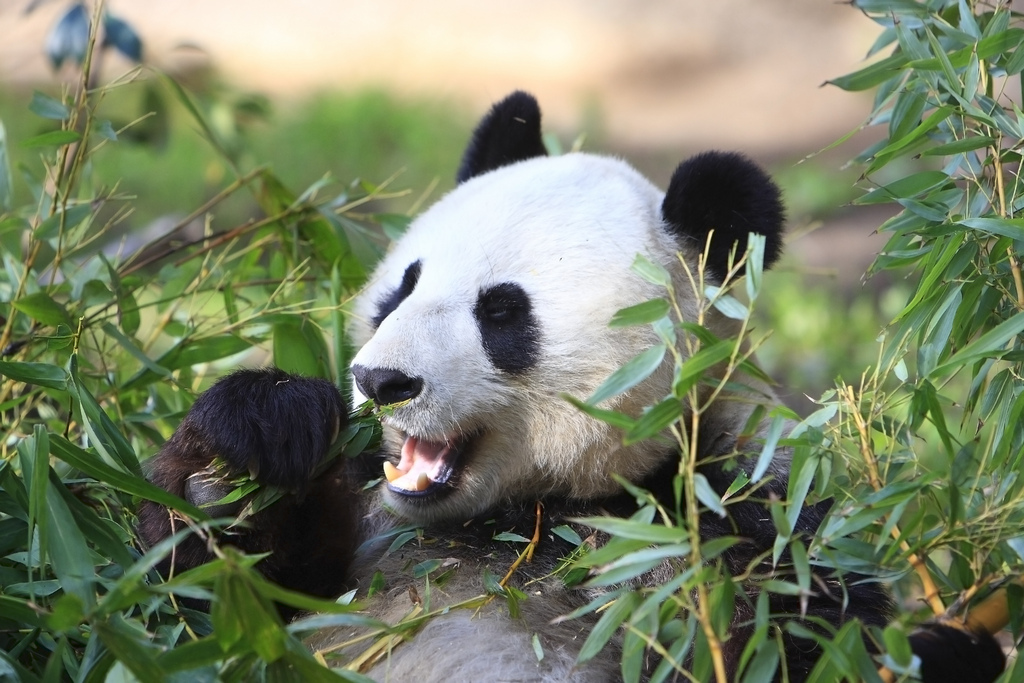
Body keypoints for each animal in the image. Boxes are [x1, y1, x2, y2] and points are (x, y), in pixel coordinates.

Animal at [138, 91, 1006, 682]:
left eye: (501, 310)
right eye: (402, 288)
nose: (380, 380)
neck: (527, 514)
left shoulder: (746, 520)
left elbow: (813, 632)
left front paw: (943, 650)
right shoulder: (361, 515)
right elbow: (190, 608)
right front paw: (242, 454)